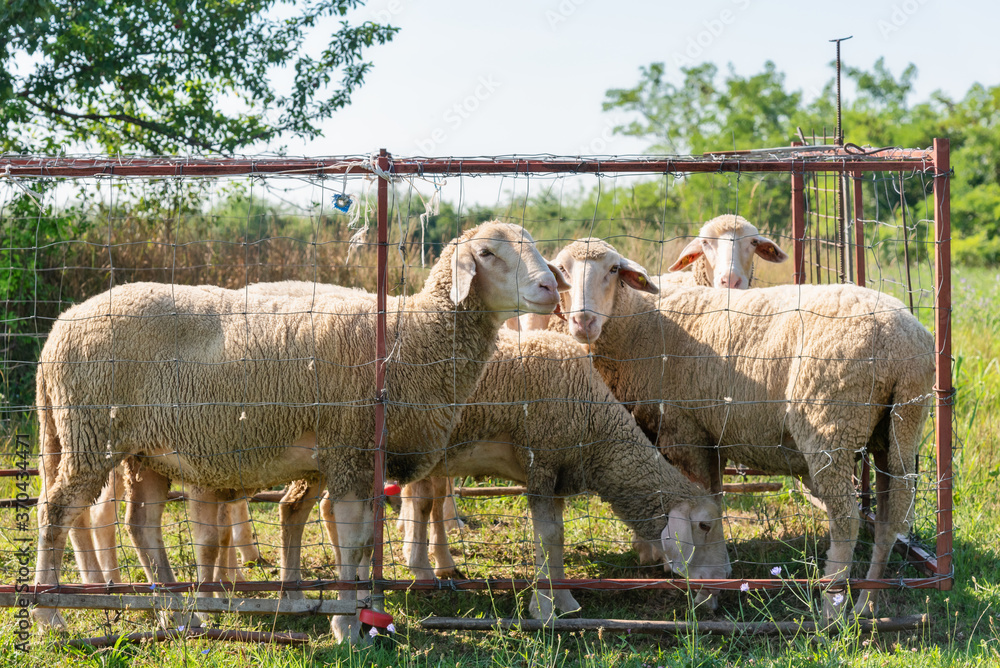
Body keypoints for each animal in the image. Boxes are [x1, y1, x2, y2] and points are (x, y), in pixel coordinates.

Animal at [32, 221, 564, 643]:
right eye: (488, 253)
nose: (548, 288)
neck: (410, 336)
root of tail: (59, 327)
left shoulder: (359, 458)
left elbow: (362, 541)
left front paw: (361, 613)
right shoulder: (348, 448)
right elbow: (351, 538)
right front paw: (347, 625)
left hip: (145, 451)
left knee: (142, 525)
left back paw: (179, 618)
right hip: (91, 433)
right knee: (56, 511)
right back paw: (48, 614)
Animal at [552, 237, 935, 620]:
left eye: (614, 269)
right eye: (562, 271)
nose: (583, 321)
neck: (640, 325)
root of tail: (903, 344)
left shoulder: (685, 431)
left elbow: (703, 504)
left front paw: (705, 590)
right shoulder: (706, 436)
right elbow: (710, 497)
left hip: (832, 426)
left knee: (846, 521)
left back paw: (832, 605)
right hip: (898, 430)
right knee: (889, 520)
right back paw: (868, 602)